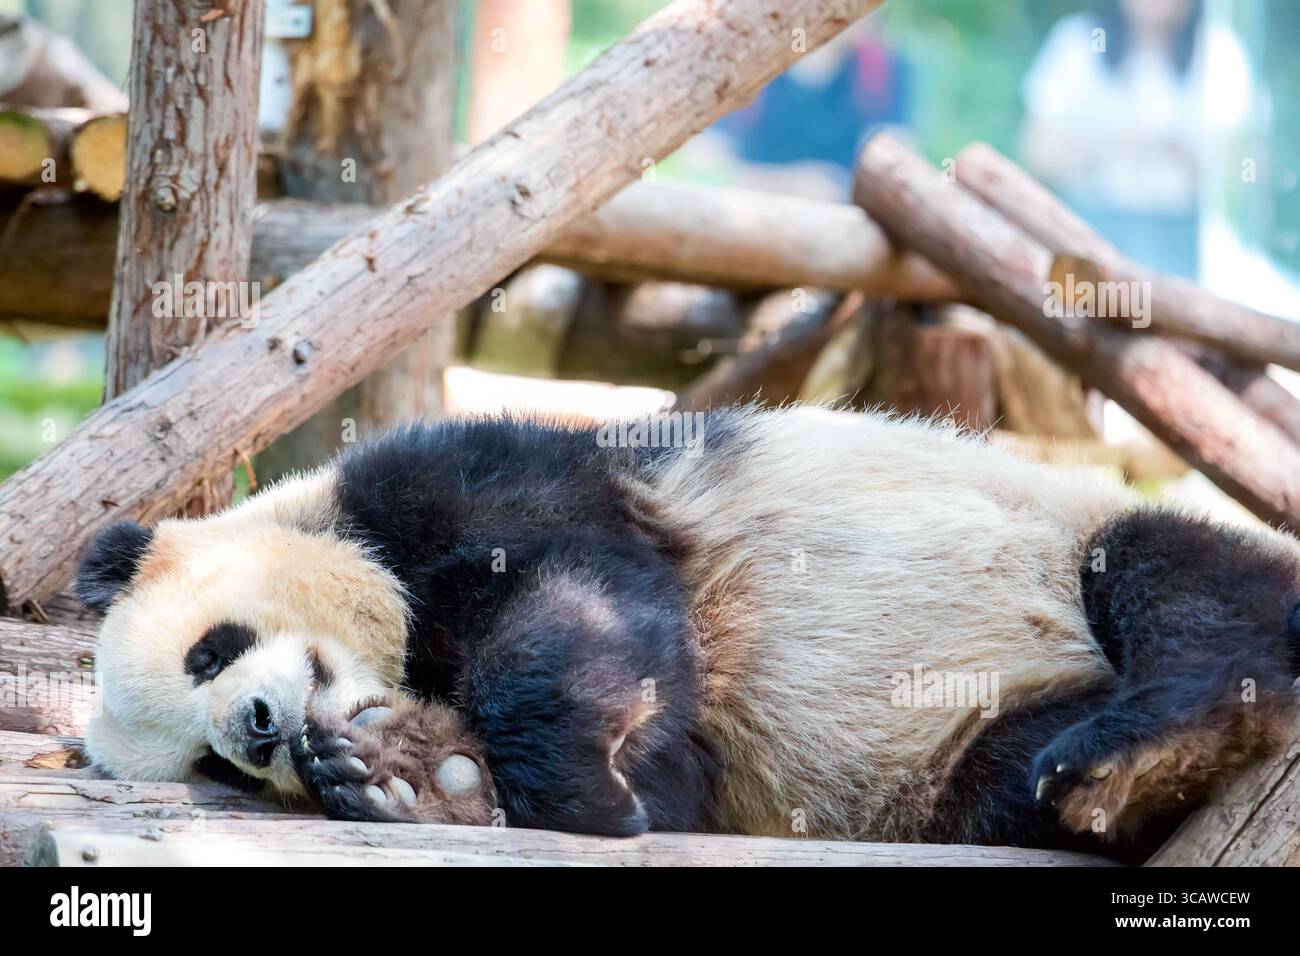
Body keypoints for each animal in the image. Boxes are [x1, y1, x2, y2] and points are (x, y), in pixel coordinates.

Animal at [76, 405, 1300, 859]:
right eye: (209, 767)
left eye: (210, 647)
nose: (257, 727)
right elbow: (676, 773)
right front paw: (413, 780)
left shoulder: (473, 479)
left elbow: (591, 604)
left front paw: (576, 788)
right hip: (959, 756)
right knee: (998, 784)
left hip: (1058, 537)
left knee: (1173, 574)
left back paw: (1152, 738)